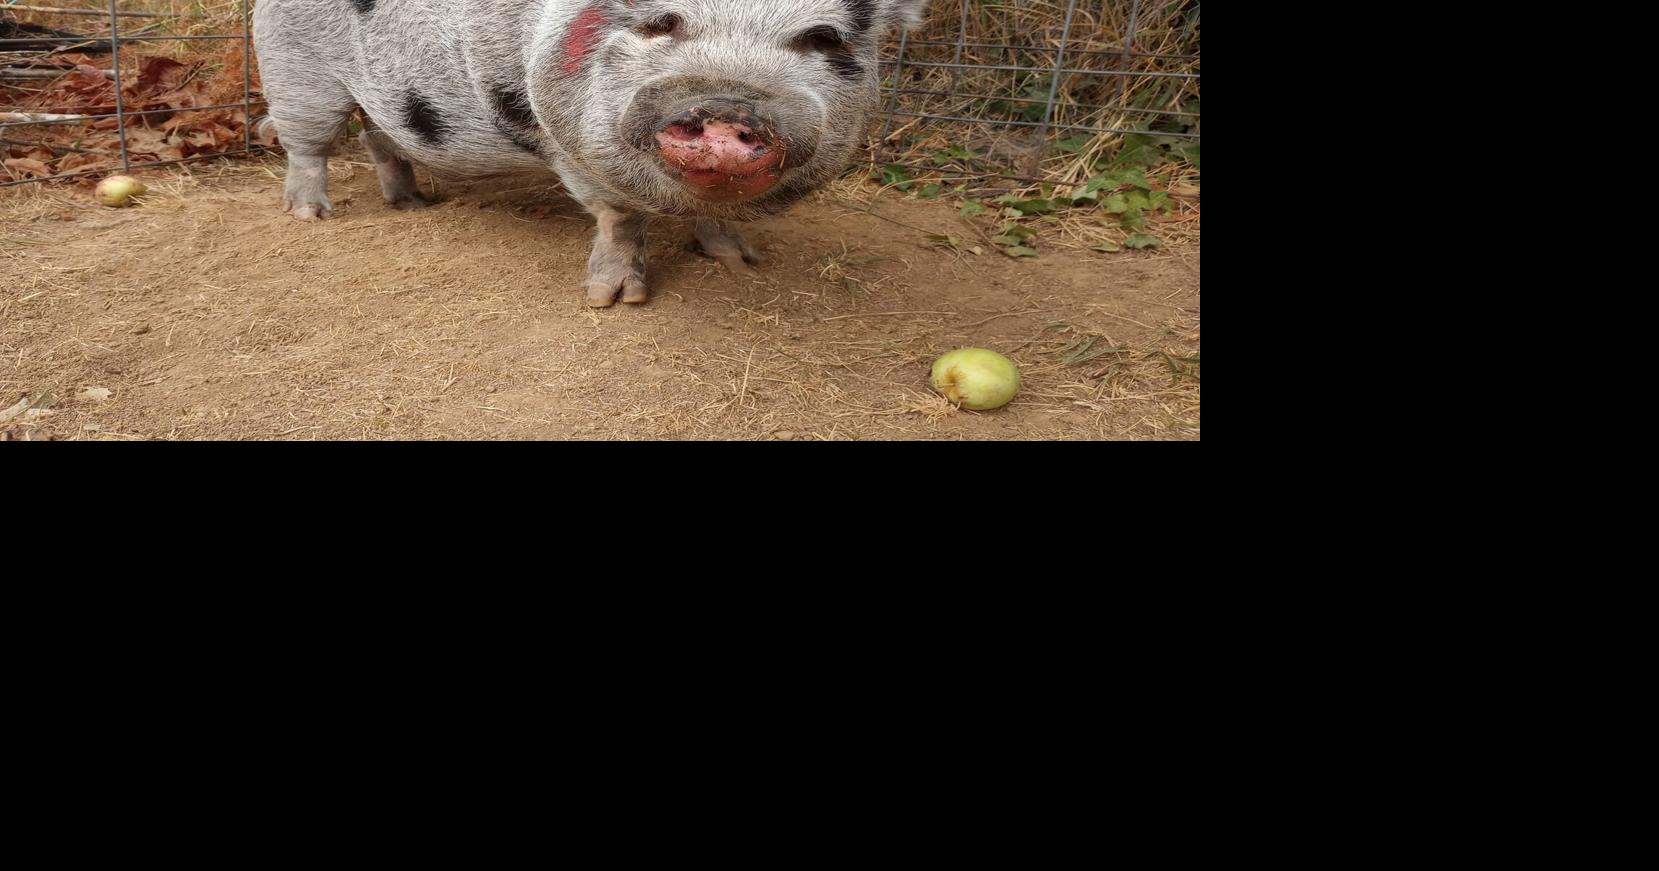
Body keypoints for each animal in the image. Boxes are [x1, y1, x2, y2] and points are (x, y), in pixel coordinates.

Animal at [252, 0, 930, 307]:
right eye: (662, 23)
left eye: (822, 38)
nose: (729, 109)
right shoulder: (574, 150)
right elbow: (621, 220)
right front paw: (613, 301)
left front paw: (741, 262)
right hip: (294, 68)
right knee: (308, 145)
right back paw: (311, 215)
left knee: (380, 135)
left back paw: (412, 205)